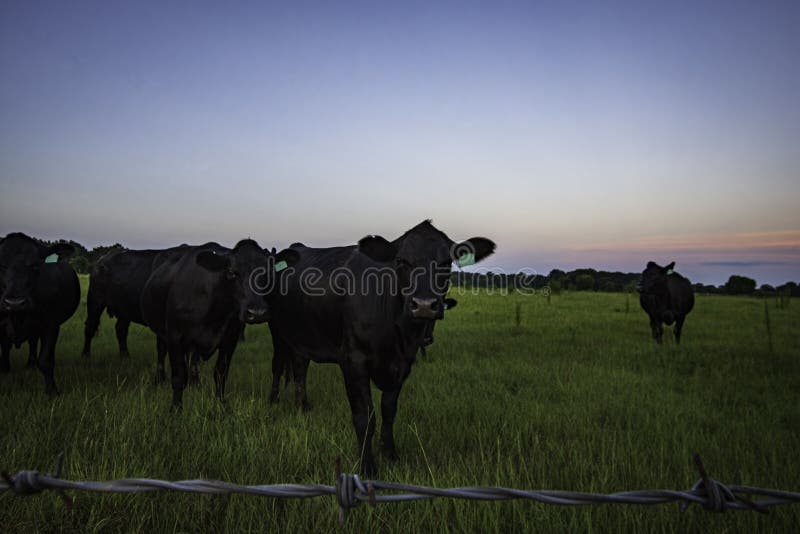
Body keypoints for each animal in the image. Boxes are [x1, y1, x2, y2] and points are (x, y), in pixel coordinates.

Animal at [0, 233, 80, 394]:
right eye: (1, 264)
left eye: (35, 266)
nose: (14, 303)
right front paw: (4, 370)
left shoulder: (51, 324)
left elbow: (46, 360)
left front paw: (52, 391)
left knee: (32, 342)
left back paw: (31, 364)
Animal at [140, 239, 298, 408]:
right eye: (231, 272)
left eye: (268, 273)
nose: (257, 313)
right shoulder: (175, 336)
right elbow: (178, 376)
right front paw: (176, 408)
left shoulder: (230, 339)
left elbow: (220, 373)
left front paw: (221, 405)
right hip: (162, 333)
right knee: (162, 352)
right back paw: (160, 380)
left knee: (193, 363)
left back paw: (195, 386)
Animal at [267, 220, 495, 474]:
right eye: (401, 261)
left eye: (446, 263)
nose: (424, 305)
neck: (396, 335)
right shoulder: (353, 362)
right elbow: (365, 416)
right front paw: (367, 466)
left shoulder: (404, 364)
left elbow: (388, 410)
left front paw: (390, 454)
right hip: (277, 331)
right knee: (279, 365)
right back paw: (273, 400)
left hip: (303, 336)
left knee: (300, 368)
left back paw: (303, 408)